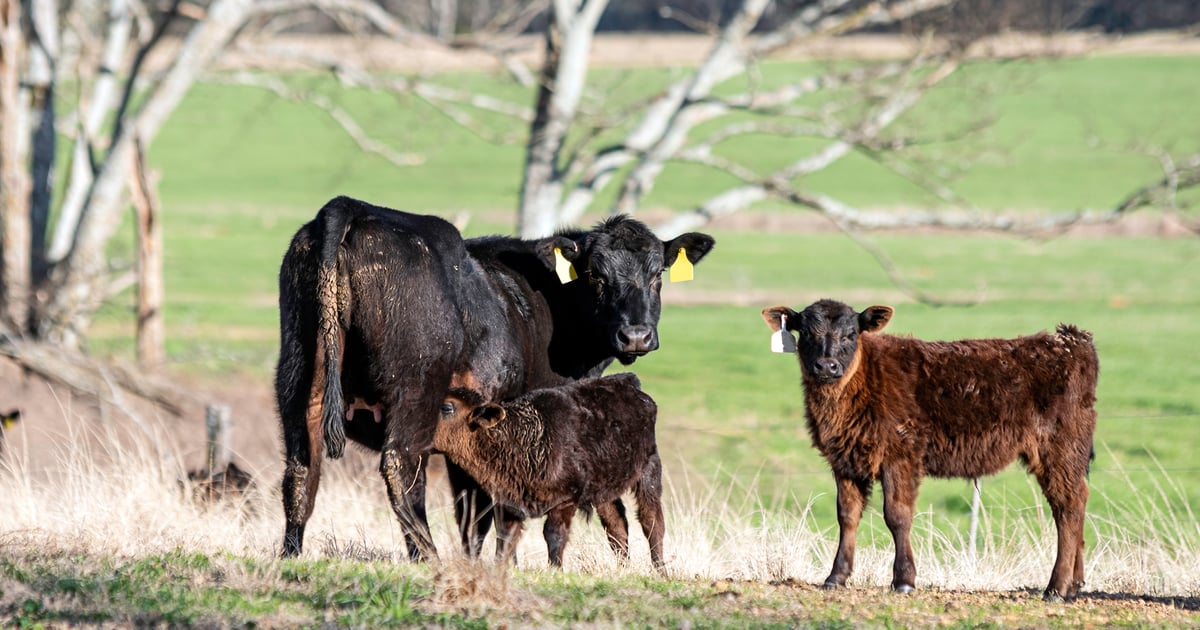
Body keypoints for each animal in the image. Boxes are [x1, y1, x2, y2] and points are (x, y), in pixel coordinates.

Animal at [435, 373, 664, 570]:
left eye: (447, 407)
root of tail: (630, 384)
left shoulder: (565, 500)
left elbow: (553, 534)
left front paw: (555, 570)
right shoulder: (508, 503)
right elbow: (505, 538)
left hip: (649, 472)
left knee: (651, 521)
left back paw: (660, 570)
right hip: (605, 490)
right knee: (616, 525)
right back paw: (623, 568)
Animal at [761, 299, 1098, 601]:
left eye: (851, 333)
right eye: (807, 332)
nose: (826, 365)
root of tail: (1070, 340)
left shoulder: (900, 455)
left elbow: (897, 515)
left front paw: (903, 580)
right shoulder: (845, 460)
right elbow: (847, 515)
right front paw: (836, 577)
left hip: (1059, 449)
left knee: (1068, 507)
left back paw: (1055, 588)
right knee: (1075, 503)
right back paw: (1073, 586)